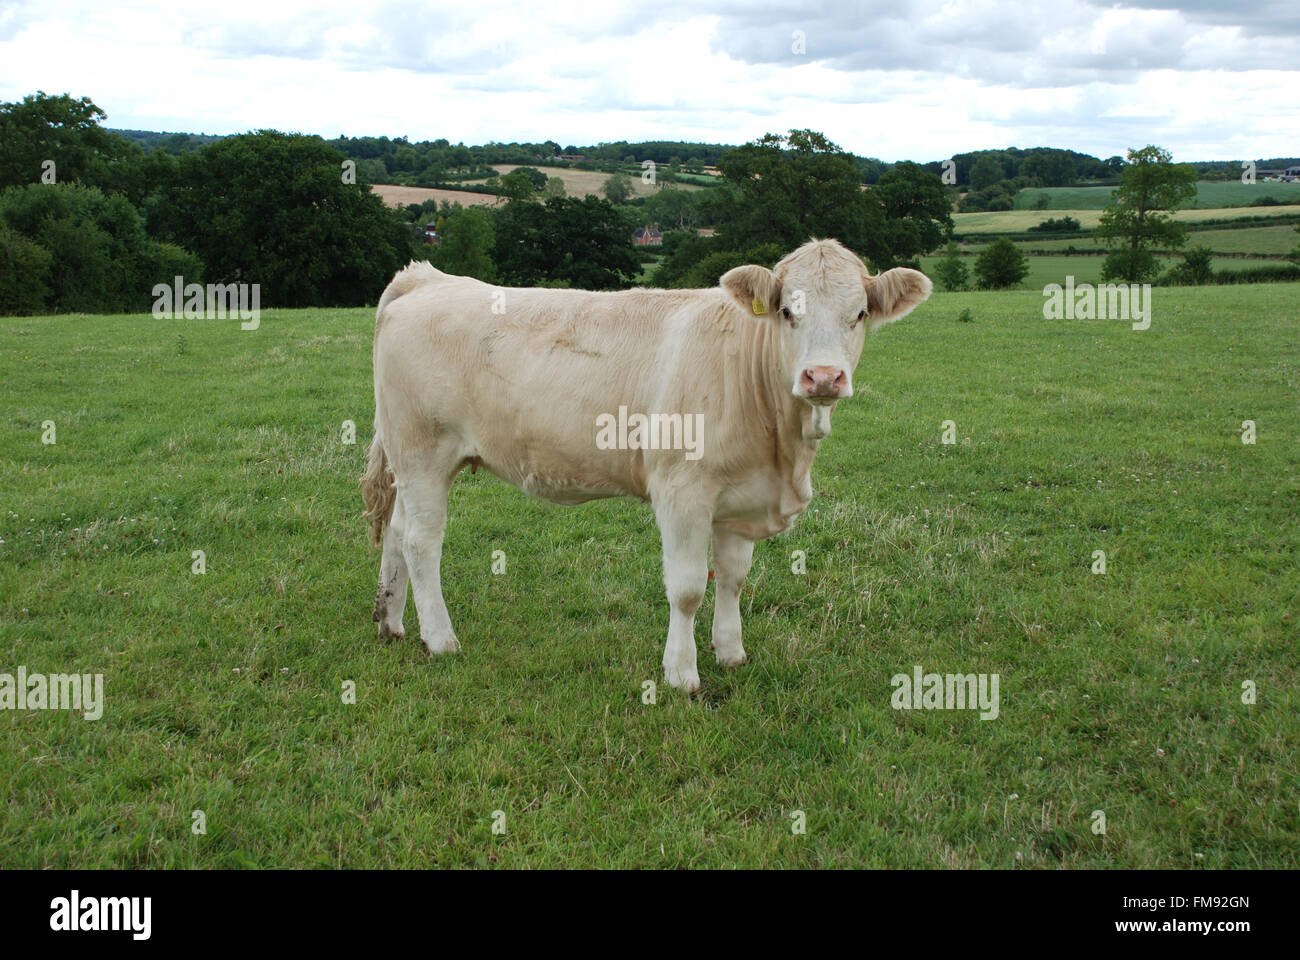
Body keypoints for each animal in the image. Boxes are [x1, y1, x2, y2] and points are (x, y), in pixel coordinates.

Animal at [360, 238, 932, 692]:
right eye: (788, 313)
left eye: (859, 315)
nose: (823, 377)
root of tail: (428, 278)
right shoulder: (682, 491)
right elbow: (688, 588)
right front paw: (682, 674)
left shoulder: (742, 497)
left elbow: (733, 578)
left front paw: (731, 653)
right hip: (423, 453)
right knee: (422, 541)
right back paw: (441, 639)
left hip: (410, 461)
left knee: (397, 530)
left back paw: (391, 621)